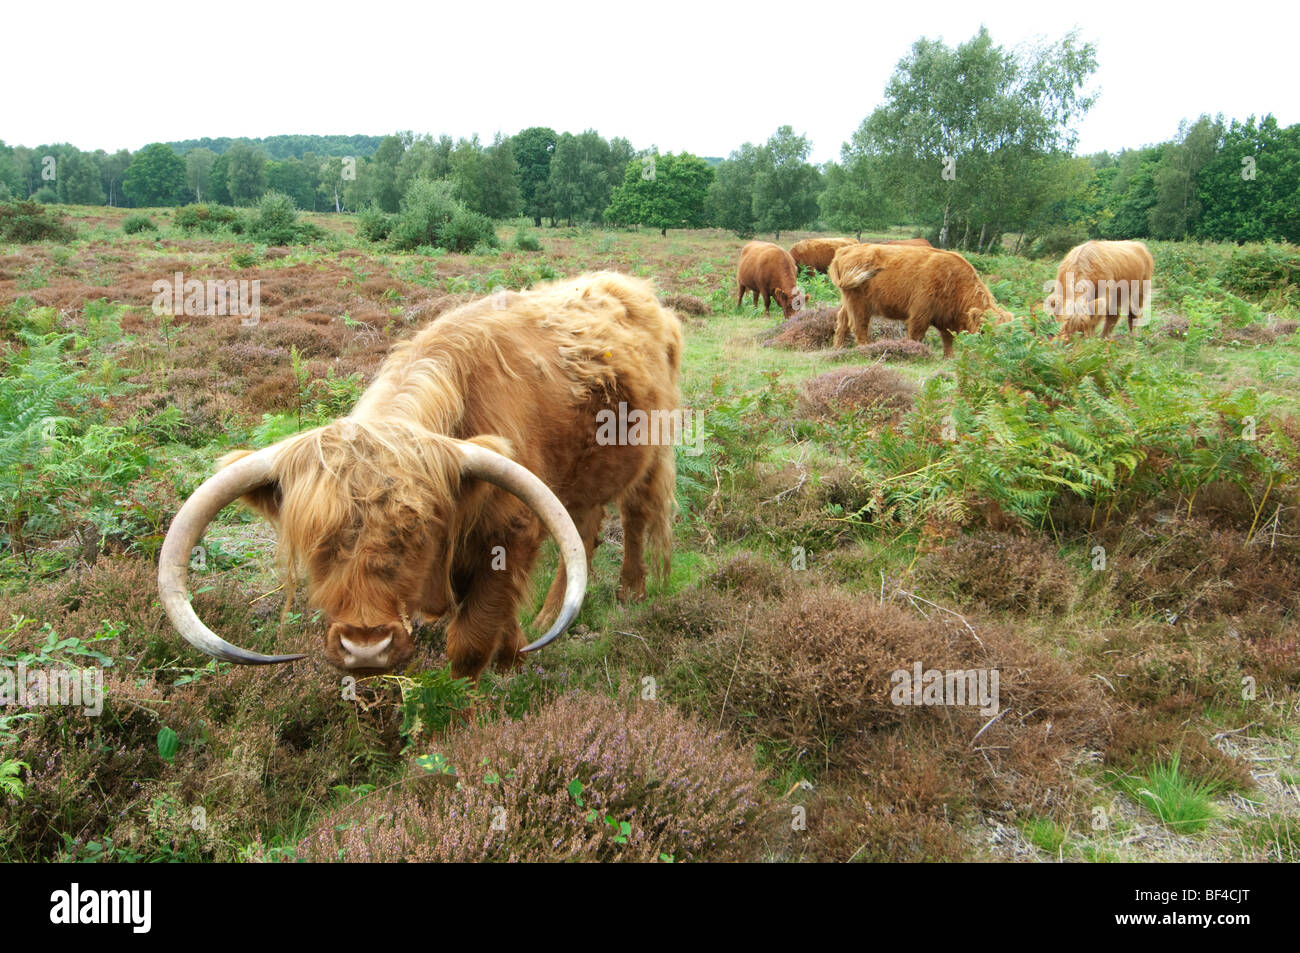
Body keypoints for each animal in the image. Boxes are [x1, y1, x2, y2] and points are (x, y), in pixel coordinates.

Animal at [158, 272, 682, 683]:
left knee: (635, 515)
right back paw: (551, 614)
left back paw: (631, 591)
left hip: (652, 454)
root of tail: (632, 286)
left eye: (416, 535)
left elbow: (470, 642)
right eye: (315, 544)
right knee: (586, 526)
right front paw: (514, 655)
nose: (365, 648)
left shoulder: (509, 536)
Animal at [829, 243, 1012, 356]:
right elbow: (916, 335)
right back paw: (866, 349)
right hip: (859, 303)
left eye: (1005, 335)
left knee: (842, 322)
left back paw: (837, 349)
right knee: (858, 326)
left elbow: (948, 339)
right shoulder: (920, 313)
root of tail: (845, 250)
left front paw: (949, 358)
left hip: (848, 301)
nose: (993, 352)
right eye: (983, 331)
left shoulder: (946, 318)